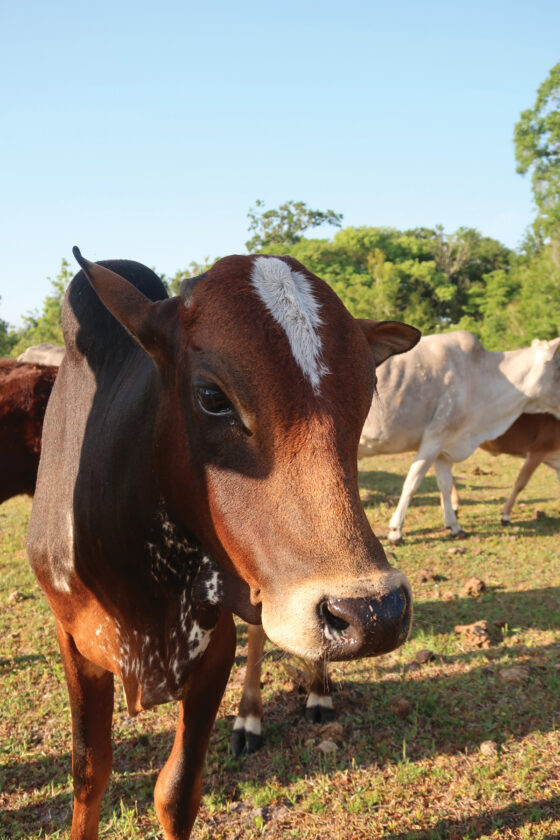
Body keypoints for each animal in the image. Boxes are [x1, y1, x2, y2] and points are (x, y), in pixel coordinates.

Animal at [27, 248, 420, 839]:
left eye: (366, 391)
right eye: (212, 396)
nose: (374, 612)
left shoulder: (215, 646)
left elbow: (176, 793)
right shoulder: (71, 640)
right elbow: (89, 773)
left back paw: (290, 703)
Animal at [358, 331, 560, 543]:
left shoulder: (444, 446)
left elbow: (445, 485)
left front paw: (454, 526)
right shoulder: (435, 437)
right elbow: (412, 483)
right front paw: (396, 531)